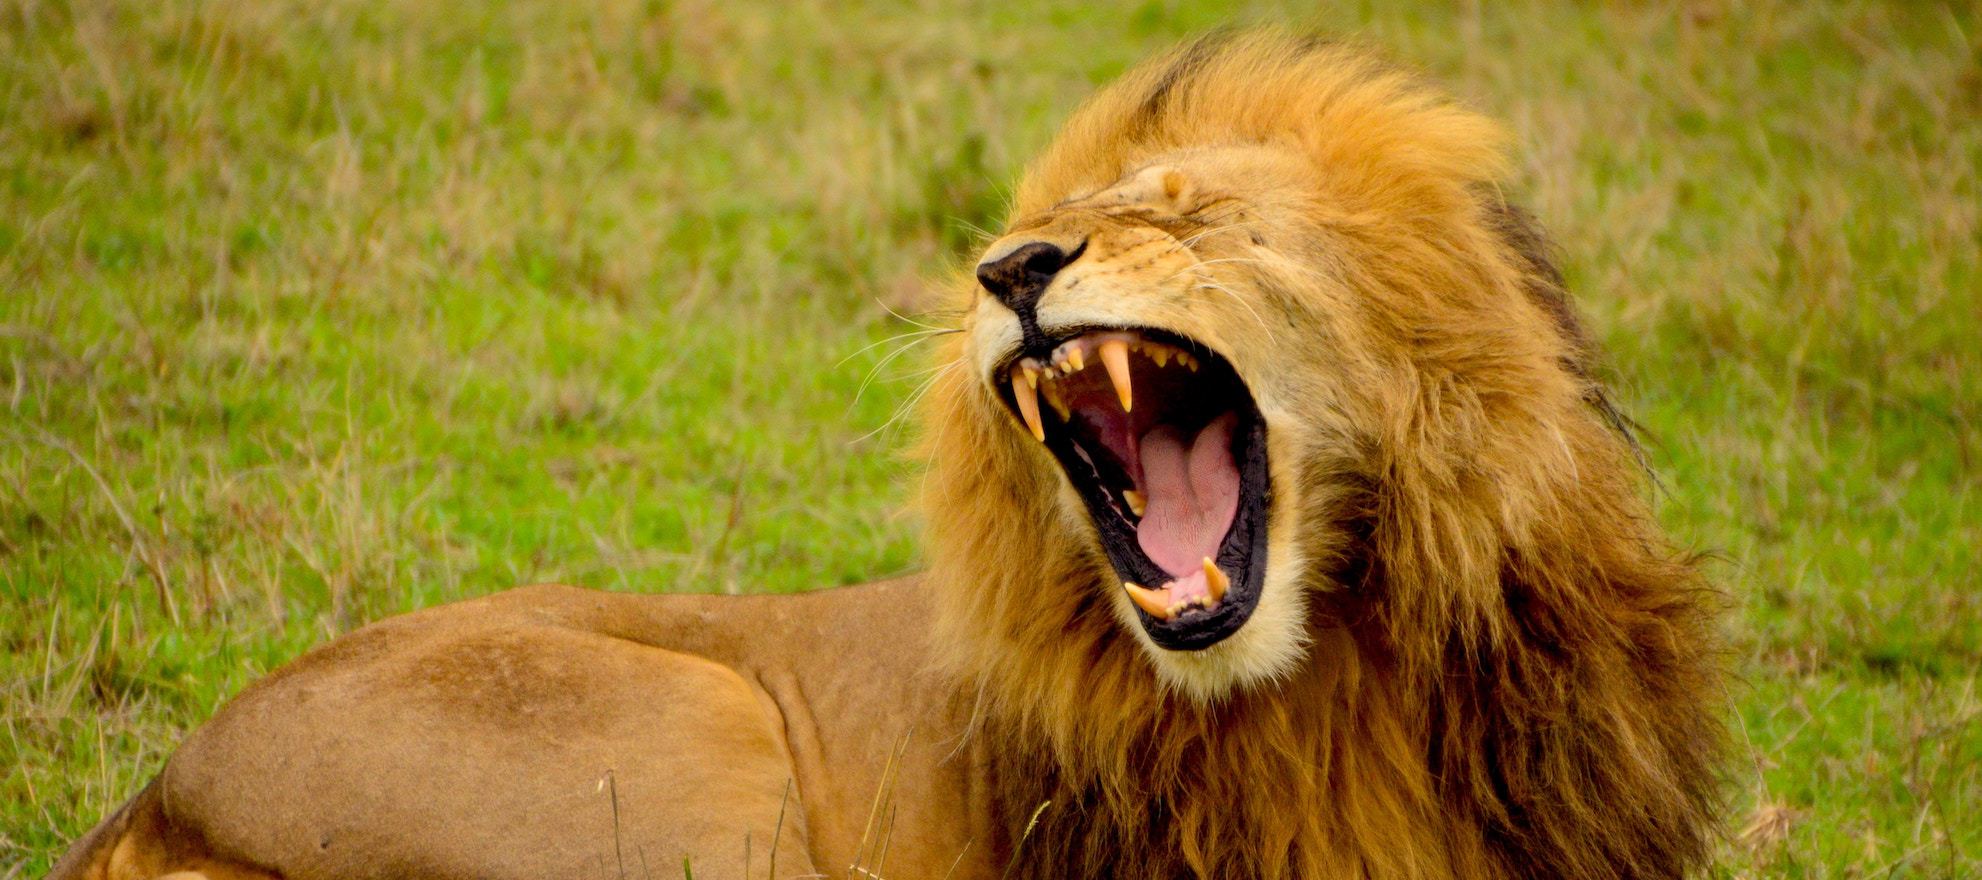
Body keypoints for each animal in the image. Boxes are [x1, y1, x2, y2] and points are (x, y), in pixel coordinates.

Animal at [49, 32, 1724, 880]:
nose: (1011, 268)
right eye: (1034, 224)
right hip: (693, 756)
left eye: (1186, 211)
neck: (1340, 679)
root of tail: (158, 789)